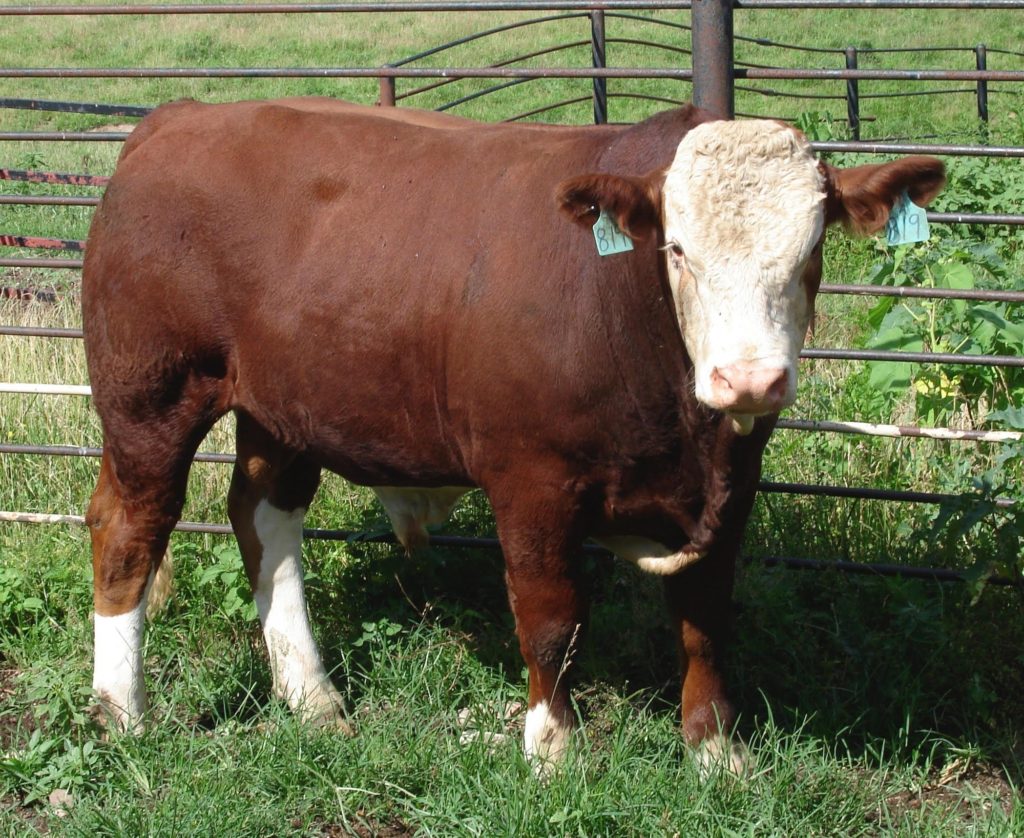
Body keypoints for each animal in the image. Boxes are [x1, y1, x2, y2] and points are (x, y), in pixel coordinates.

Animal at [81, 97, 945, 771]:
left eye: (811, 250)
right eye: (677, 248)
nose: (751, 381)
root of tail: (178, 118)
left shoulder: (734, 486)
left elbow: (704, 619)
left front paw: (715, 754)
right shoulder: (532, 479)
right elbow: (551, 617)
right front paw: (553, 749)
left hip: (280, 409)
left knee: (265, 519)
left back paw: (313, 698)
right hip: (150, 396)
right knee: (130, 530)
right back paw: (123, 712)